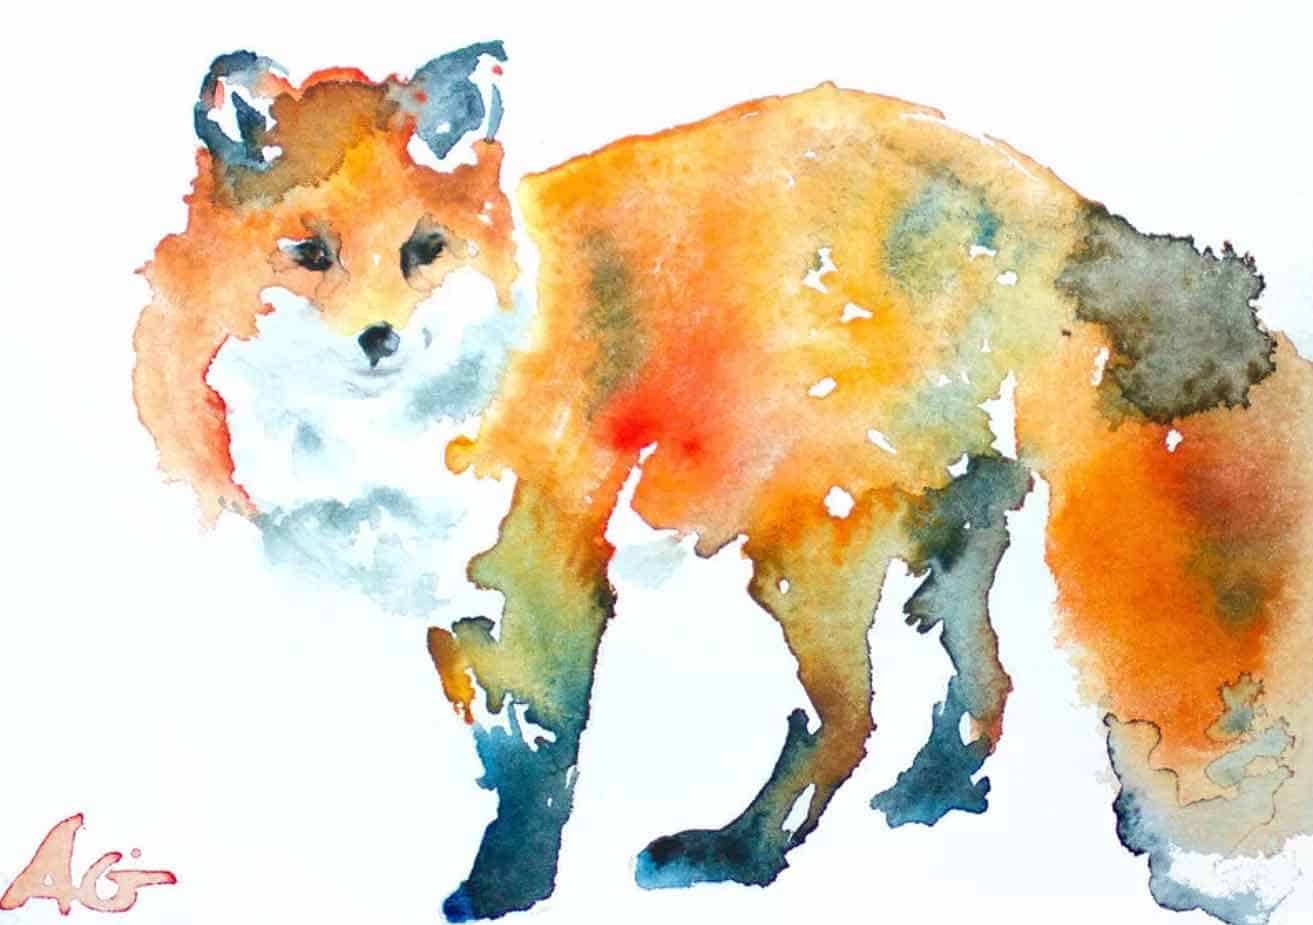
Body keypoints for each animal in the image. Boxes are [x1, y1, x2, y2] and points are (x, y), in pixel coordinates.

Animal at [135, 44, 1313, 924]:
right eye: (309, 253)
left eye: (423, 250)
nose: (379, 341)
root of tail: (1052, 205)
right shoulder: (448, 606)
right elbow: (493, 747)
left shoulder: (543, 579)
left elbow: (538, 763)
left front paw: (507, 887)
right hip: (938, 552)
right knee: (981, 681)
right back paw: (933, 792)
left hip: (805, 559)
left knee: (844, 720)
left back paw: (742, 852)